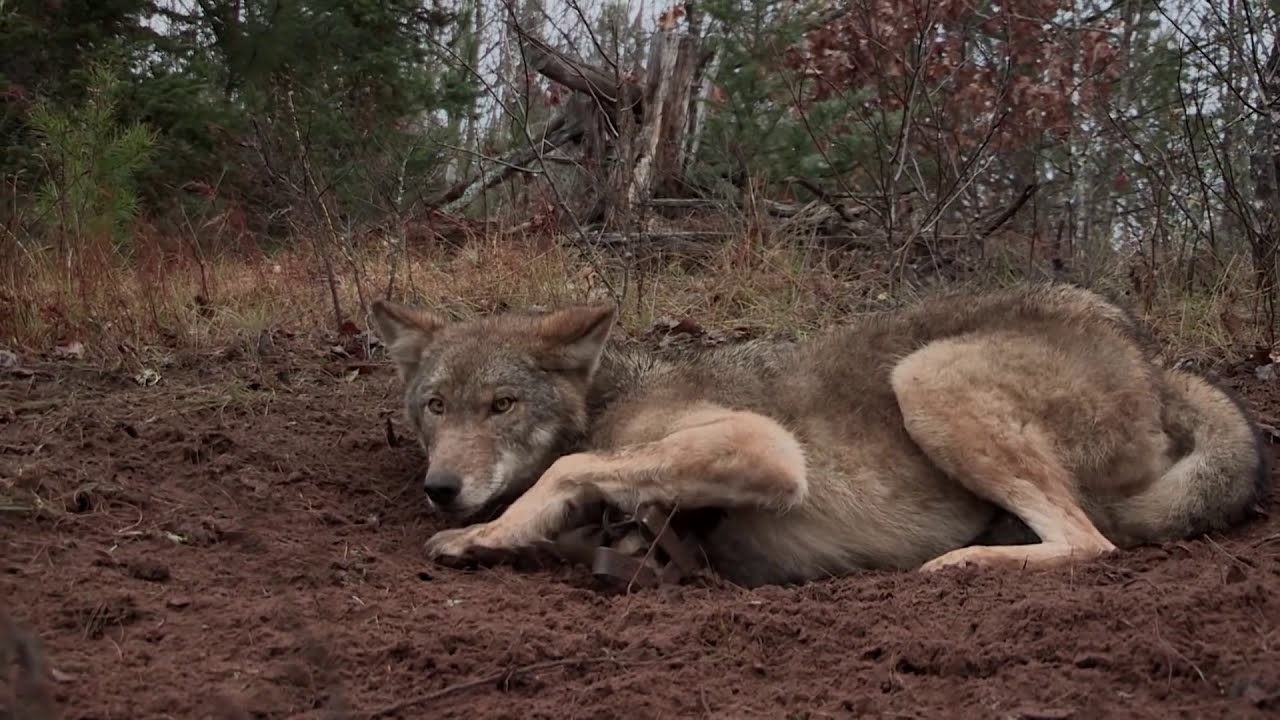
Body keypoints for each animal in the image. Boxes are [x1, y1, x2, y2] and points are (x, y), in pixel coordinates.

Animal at [370, 283, 1271, 587]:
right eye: (434, 406)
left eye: (501, 406)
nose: (440, 490)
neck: (609, 397)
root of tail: (1151, 361)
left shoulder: (763, 448)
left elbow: (576, 468)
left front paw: (483, 536)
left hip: (926, 379)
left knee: (1091, 544)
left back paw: (963, 564)